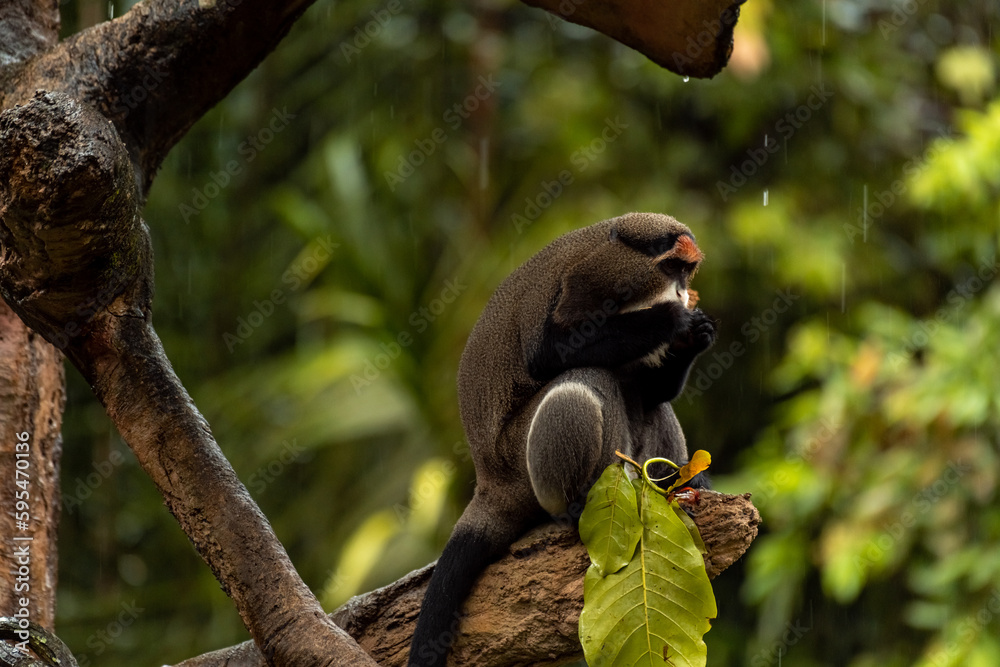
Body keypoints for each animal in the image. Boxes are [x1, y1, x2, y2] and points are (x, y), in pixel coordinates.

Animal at [407, 212, 717, 666]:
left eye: (686, 270)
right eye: (671, 267)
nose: (681, 293)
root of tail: (490, 484)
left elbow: (654, 391)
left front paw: (696, 334)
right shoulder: (583, 281)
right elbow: (551, 352)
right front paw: (670, 319)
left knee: (647, 401)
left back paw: (679, 484)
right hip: (520, 462)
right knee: (586, 378)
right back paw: (582, 504)